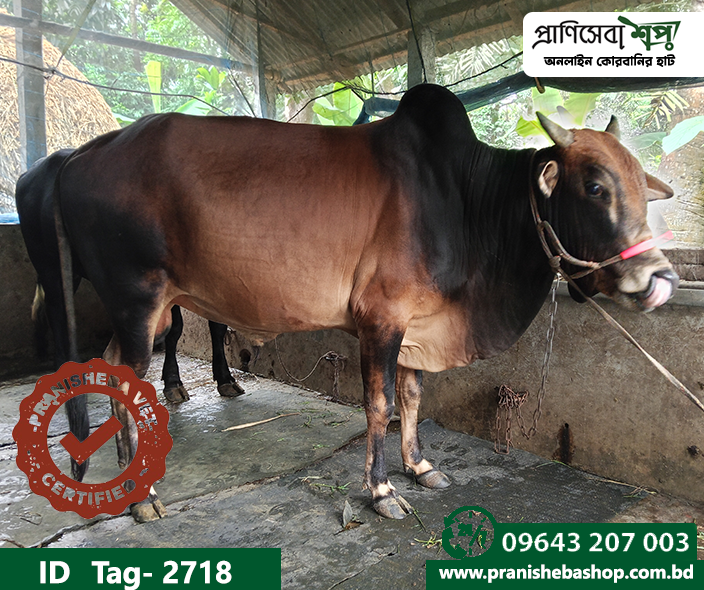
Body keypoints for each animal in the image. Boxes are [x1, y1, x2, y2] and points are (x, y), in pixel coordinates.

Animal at [15, 150, 245, 476]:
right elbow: (175, 330)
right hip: (53, 270)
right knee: (59, 326)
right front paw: (173, 383)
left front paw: (223, 379)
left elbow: (215, 327)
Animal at [51, 83, 677, 522]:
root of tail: (80, 155)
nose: (661, 278)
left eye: (643, 189)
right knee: (128, 375)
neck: (465, 202)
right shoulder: (381, 320)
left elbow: (414, 396)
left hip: (140, 311)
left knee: (111, 370)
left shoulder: (417, 325)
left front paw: (420, 466)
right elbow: (380, 404)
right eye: (594, 186)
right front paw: (381, 491)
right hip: (138, 300)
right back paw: (142, 496)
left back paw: (124, 474)